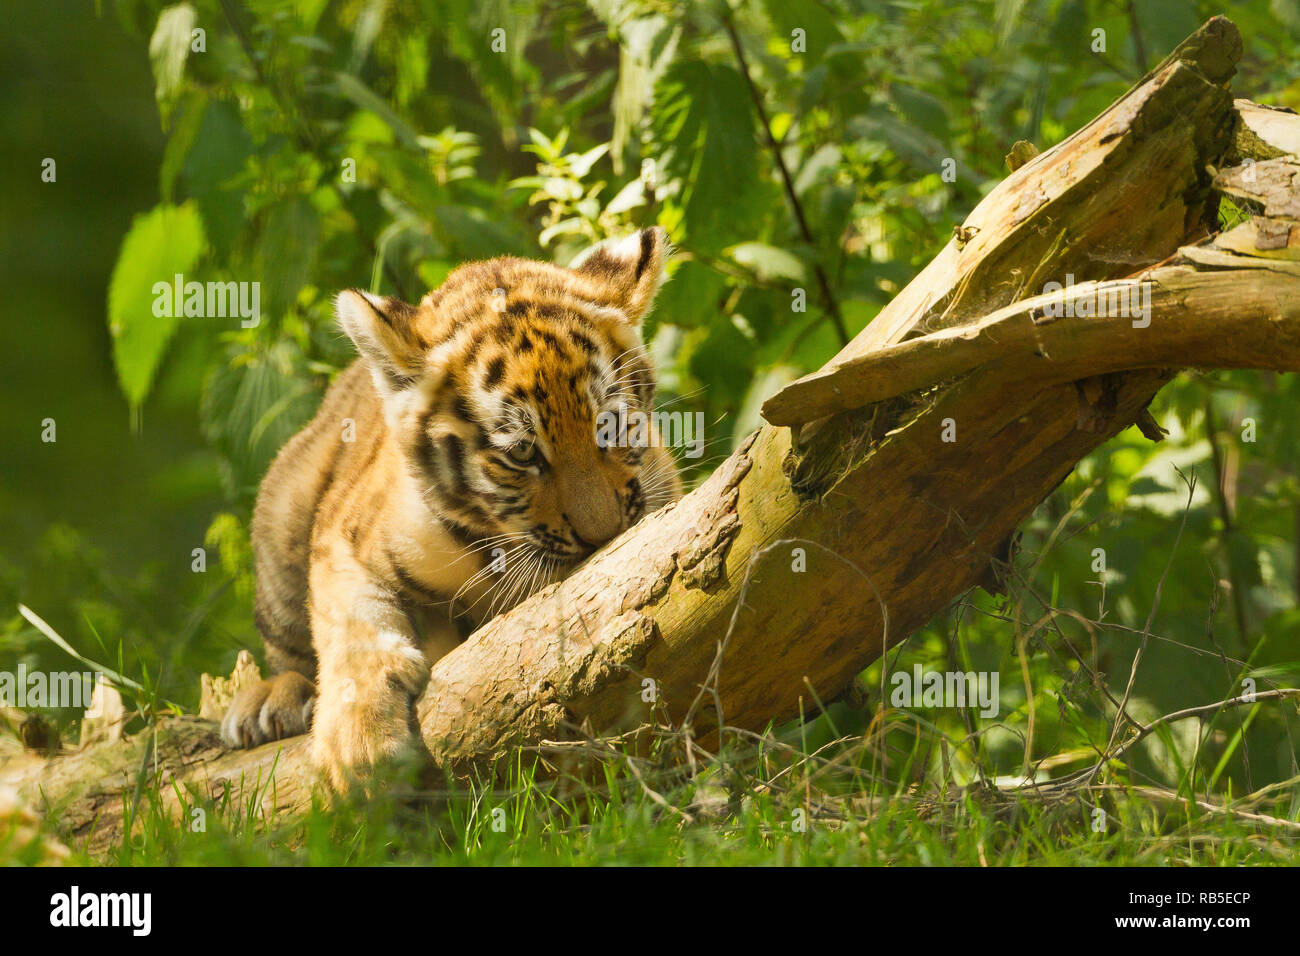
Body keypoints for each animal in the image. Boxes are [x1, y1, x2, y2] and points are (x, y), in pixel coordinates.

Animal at [219, 228, 682, 791]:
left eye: (609, 425)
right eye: (522, 452)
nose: (604, 537)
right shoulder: (342, 542)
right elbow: (352, 631)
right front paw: (359, 750)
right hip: (283, 515)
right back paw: (273, 699)